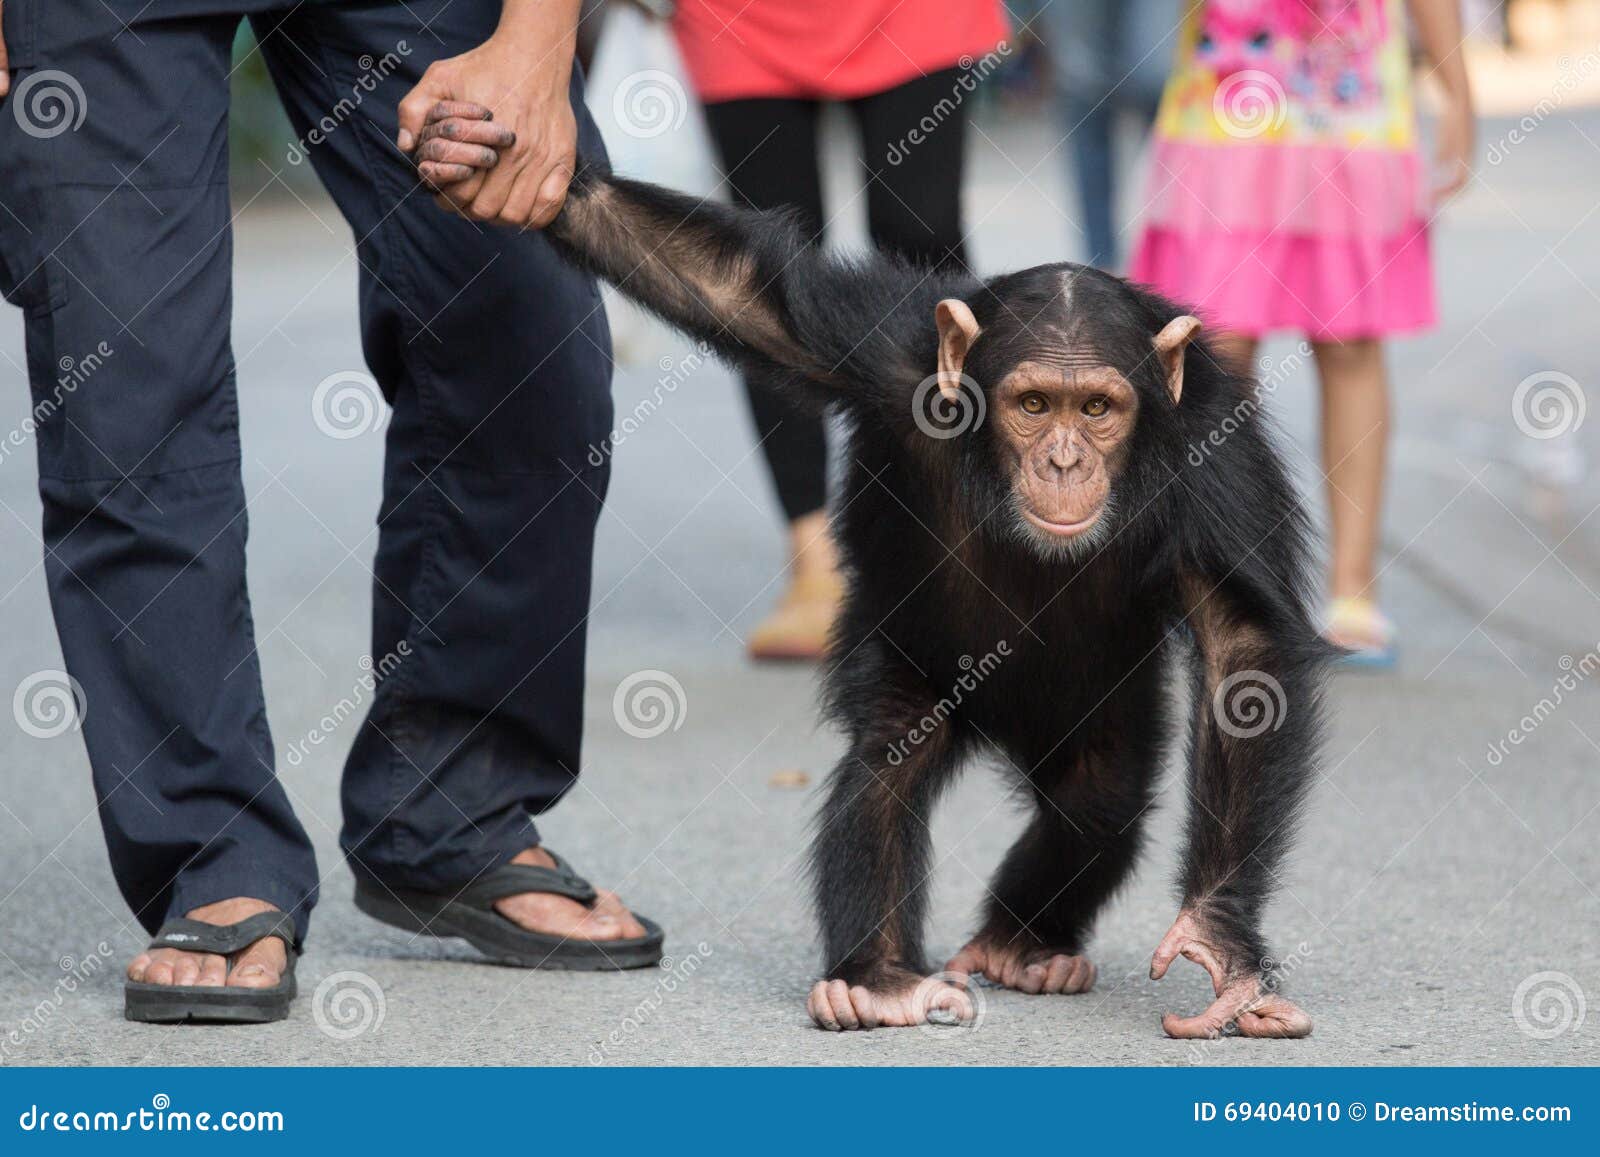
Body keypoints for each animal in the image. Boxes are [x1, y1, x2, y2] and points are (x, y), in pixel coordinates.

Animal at [415, 109, 1330, 1039]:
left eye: (1099, 409)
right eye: (1035, 404)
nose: (1066, 461)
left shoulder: (1217, 449)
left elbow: (1242, 650)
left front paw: (1218, 936)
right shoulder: (879, 355)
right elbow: (744, 294)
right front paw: (509, 165)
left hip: (1097, 711)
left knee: (1095, 799)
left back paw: (1023, 945)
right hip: (908, 662)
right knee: (888, 767)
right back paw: (880, 978)